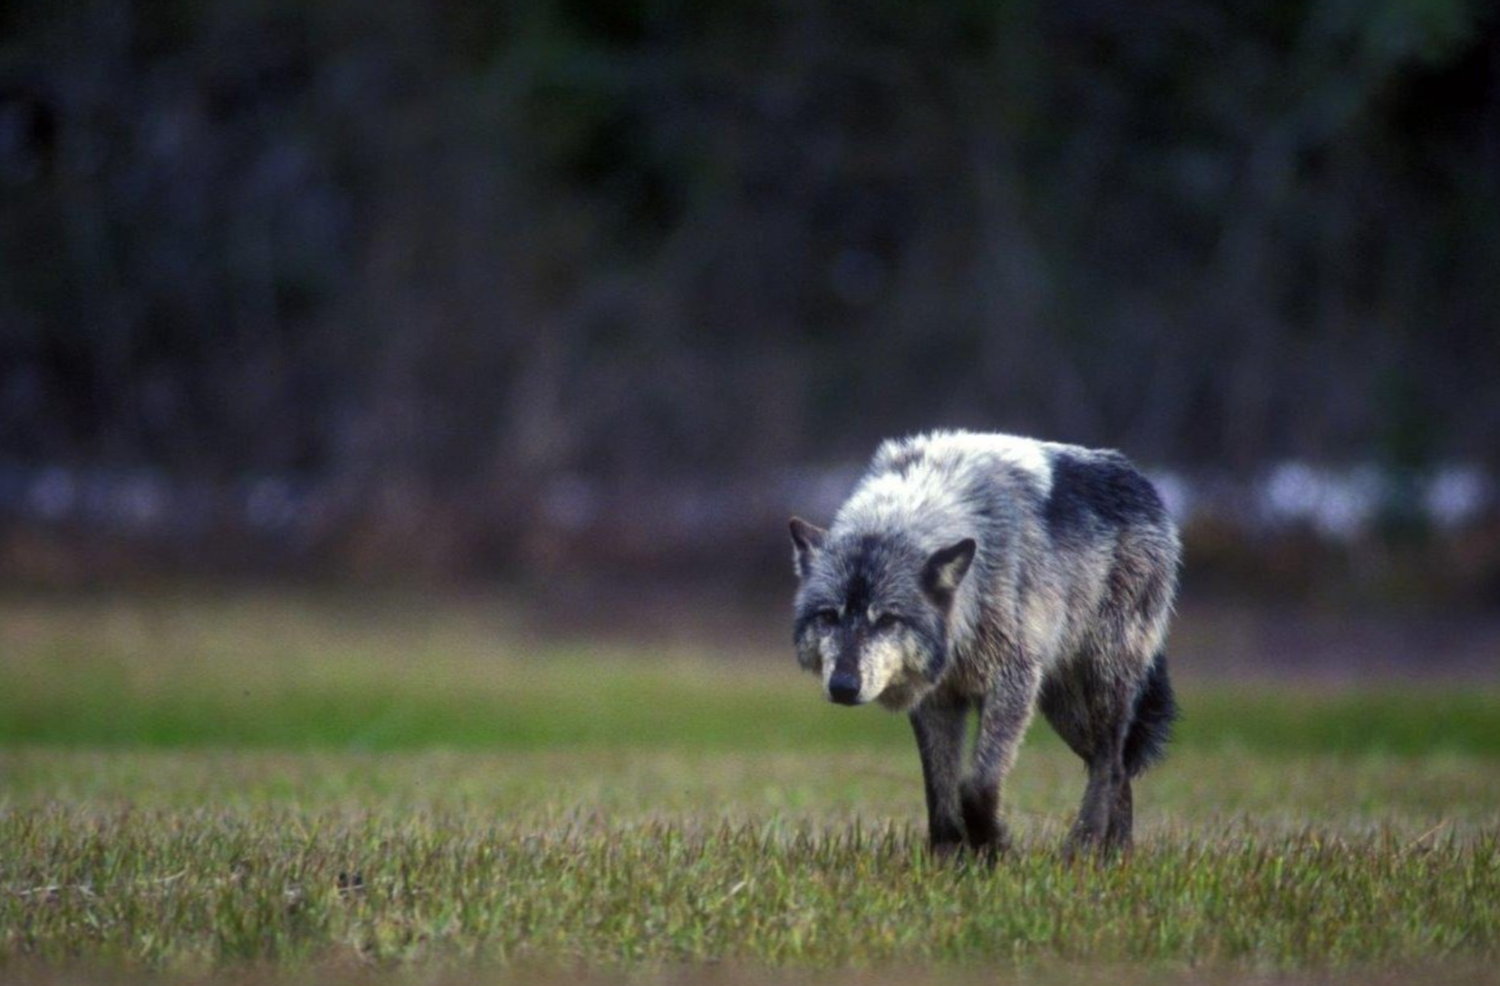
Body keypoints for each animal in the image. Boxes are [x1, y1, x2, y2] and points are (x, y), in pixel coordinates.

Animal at [789, 430, 1179, 857]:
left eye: (888, 619)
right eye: (829, 616)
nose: (843, 686)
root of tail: (1140, 480)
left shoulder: (1011, 684)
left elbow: (978, 785)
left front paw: (994, 848)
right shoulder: (937, 699)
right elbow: (939, 791)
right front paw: (949, 858)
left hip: (1098, 686)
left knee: (1110, 762)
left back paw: (1082, 849)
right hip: (1062, 708)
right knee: (1117, 769)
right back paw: (1114, 858)